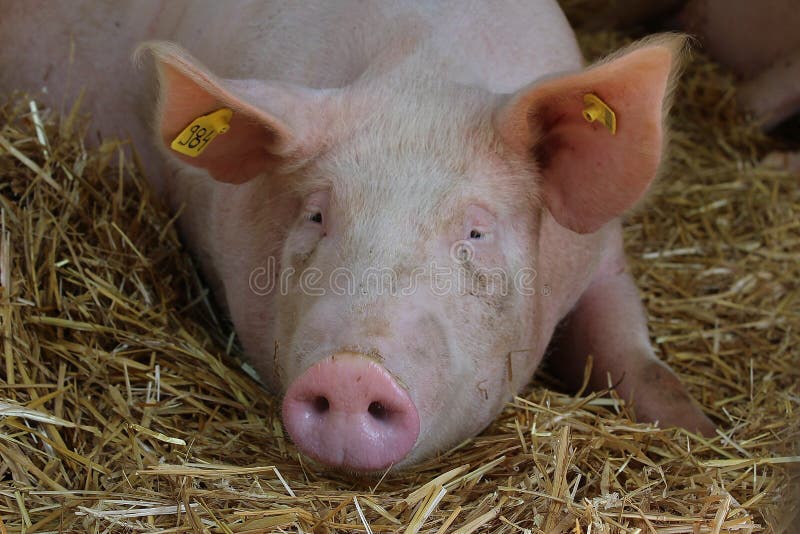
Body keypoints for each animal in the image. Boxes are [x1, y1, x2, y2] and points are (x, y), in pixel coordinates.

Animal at [1, 0, 715, 472]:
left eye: (477, 230)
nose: (351, 372)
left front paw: (703, 438)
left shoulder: (604, 256)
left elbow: (640, 363)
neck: (423, 66)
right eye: (318, 216)